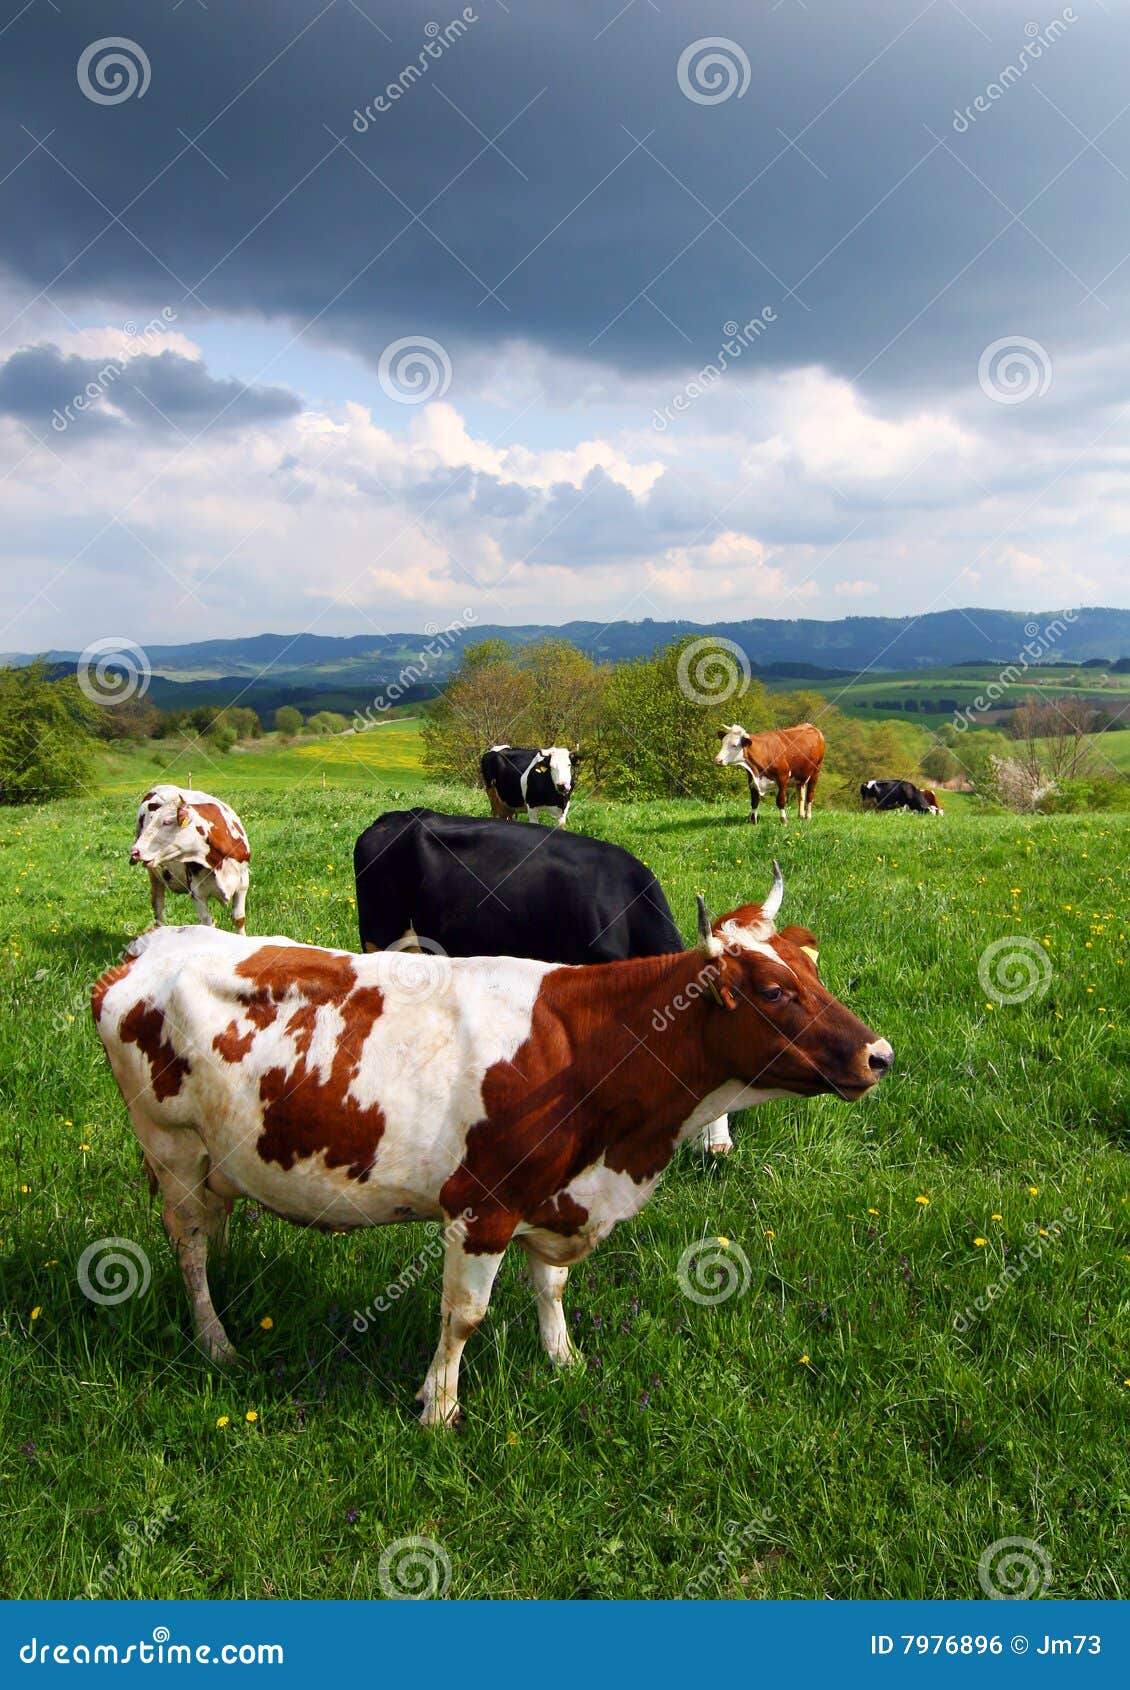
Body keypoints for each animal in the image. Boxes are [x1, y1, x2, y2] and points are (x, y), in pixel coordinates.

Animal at [92, 864, 891, 1427]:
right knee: (189, 1244)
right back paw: (216, 1340)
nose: (878, 1055)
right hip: (169, 1148)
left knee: (215, 1224)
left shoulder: (558, 1192)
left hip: (217, 1153)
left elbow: (553, 1285)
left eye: (812, 968)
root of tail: (151, 945)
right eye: (773, 990)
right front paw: (439, 1409)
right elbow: (463, 1316)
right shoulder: (483, 1204)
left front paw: (565, 1362)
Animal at [131, 785, 251, 932]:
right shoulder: (196, 892)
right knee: (158, 905)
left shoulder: (243, 883)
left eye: (167, 822)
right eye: (151, 820)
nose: (134, 851)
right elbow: (206, 923)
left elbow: (239, 919)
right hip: (154, 874)